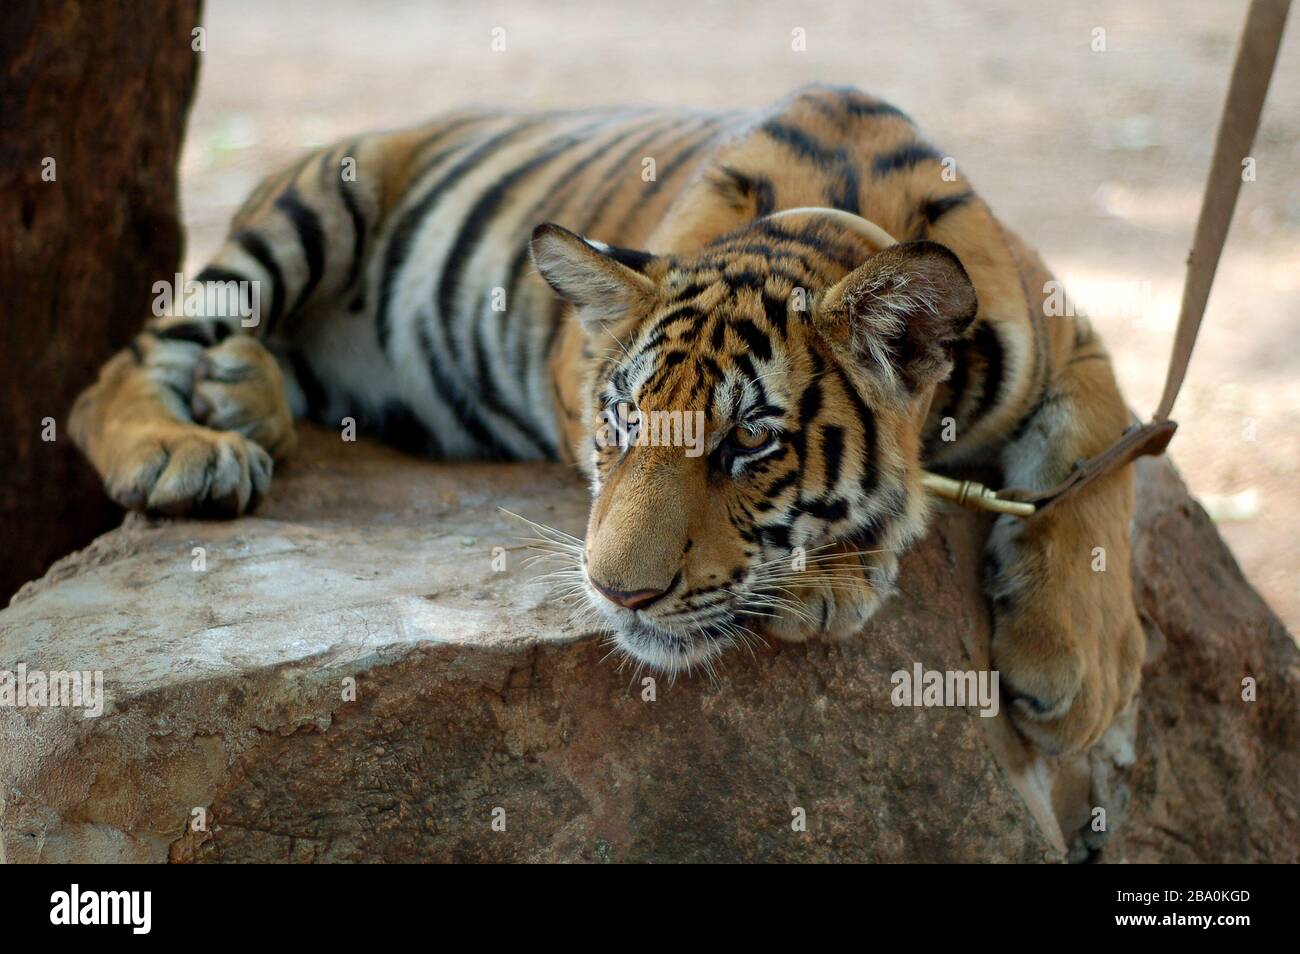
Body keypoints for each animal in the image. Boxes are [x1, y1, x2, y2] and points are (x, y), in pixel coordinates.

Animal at [70, 85, 1144, 755]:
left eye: (750, 440)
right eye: (622, 421)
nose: (617, 595)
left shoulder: (1073, 335)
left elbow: (1100, 465)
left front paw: (1077, 676)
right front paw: (842, 577)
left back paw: (241, 395)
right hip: (312, 203)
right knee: (125, 362)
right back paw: (184, 451)